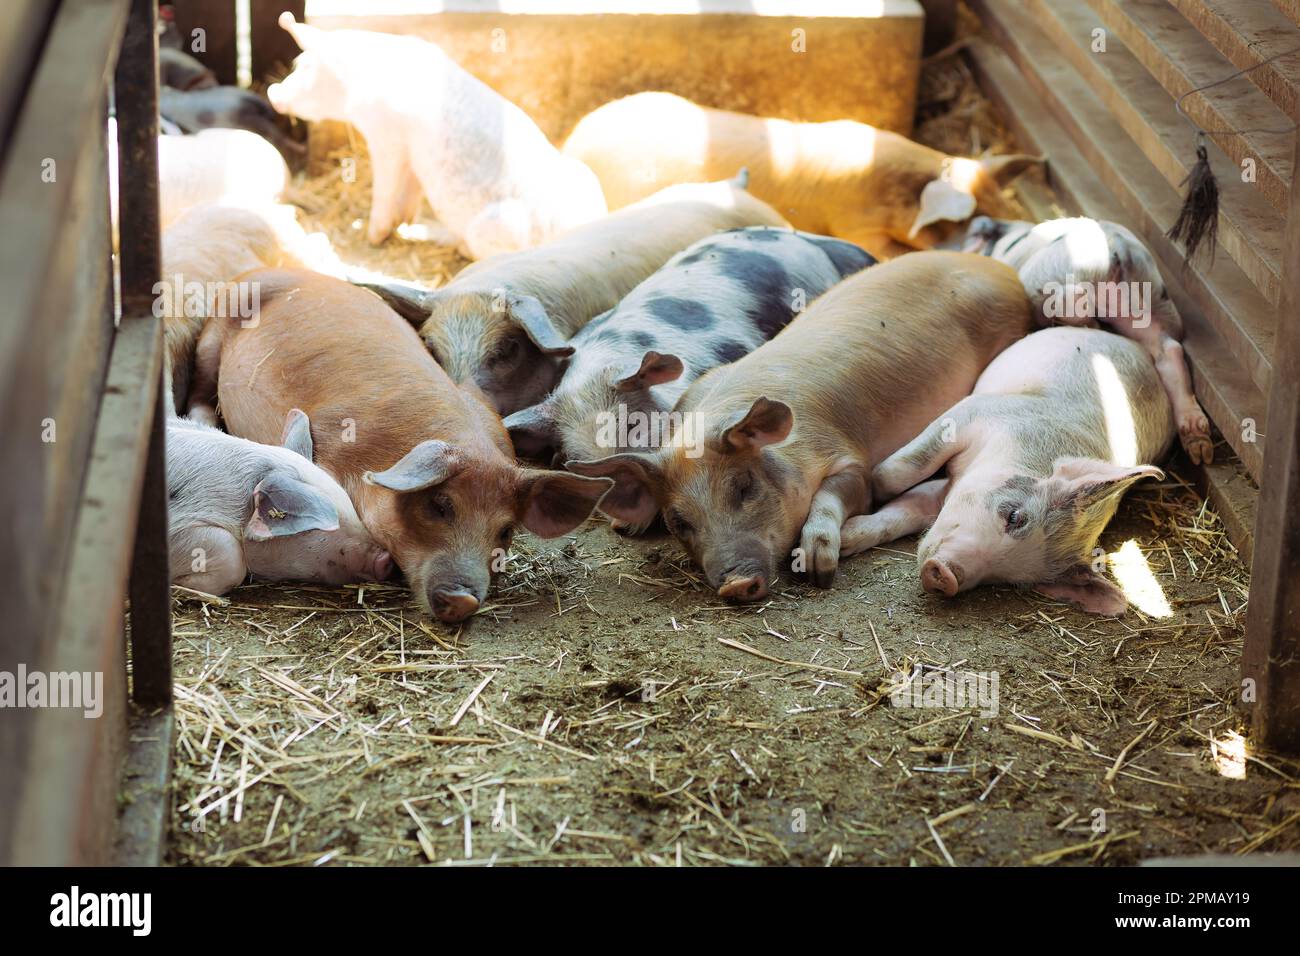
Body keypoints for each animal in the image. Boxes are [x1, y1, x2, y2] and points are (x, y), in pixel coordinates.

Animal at [267, 13, 607, 256]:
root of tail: (576, 233)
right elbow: (410, 191)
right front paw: (402, 225)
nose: (272, 92)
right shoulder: (414, 158)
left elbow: (385, 188)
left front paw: (372, 235)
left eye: (305, 67)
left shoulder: (386, 136)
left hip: (501, 224)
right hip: (584, 175)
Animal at [566, 252, 1035, 600]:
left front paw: (816, 568)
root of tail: (1004, 272)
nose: (736, 583)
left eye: (744, 487)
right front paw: (624, 528)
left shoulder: (851, 459)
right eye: (679, 521)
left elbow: (842, 491)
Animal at [839, 326, 1174, 616]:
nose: (946, 576)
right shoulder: (976, 412)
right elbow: (896, 474)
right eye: (1014, 516)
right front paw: (857, 516)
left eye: (1008, 579)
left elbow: (904, 512)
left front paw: (843, 540)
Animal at [962, 215, 1213, 465]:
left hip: (1066, 278)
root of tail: (1116, 244)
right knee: (1169, 350)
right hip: (1153, 307)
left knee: (1073, 298)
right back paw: (1199, 445)